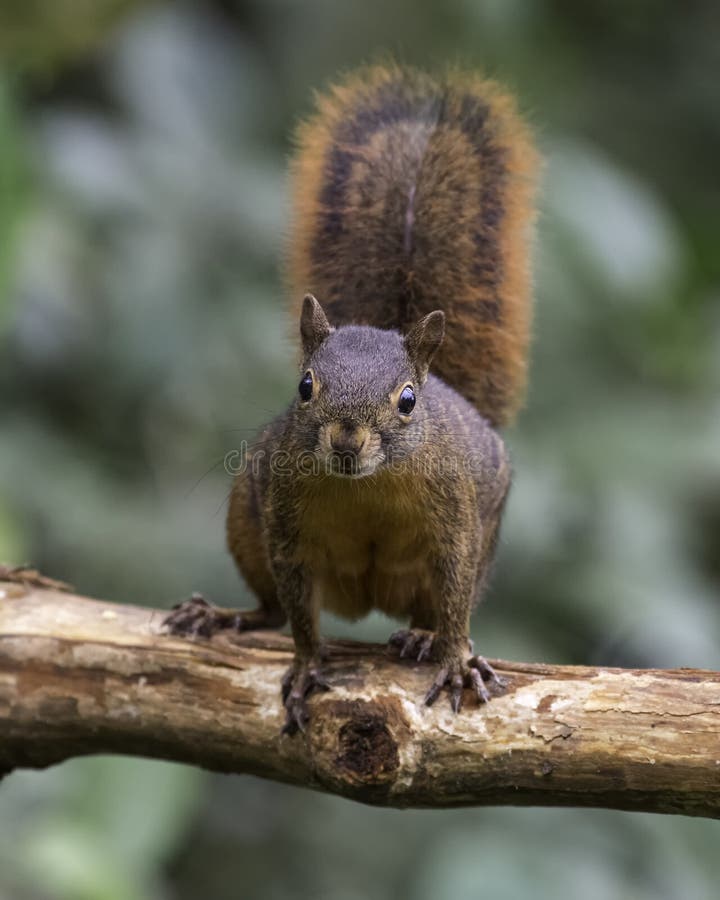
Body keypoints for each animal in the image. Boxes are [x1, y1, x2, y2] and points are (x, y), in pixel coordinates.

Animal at [164, 63, 538, 734]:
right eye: (305, 385)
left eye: (409, 400)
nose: (345, 439)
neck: (366, 488)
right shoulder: (284, 526)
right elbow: (298, 613)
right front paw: (308, 664)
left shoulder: (457, 523)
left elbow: (455, 596)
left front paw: (455, 657)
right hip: (245, 525)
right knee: (270, 609)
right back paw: (225, 616)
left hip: (485, 537)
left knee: (437, 603)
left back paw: (421, 637)